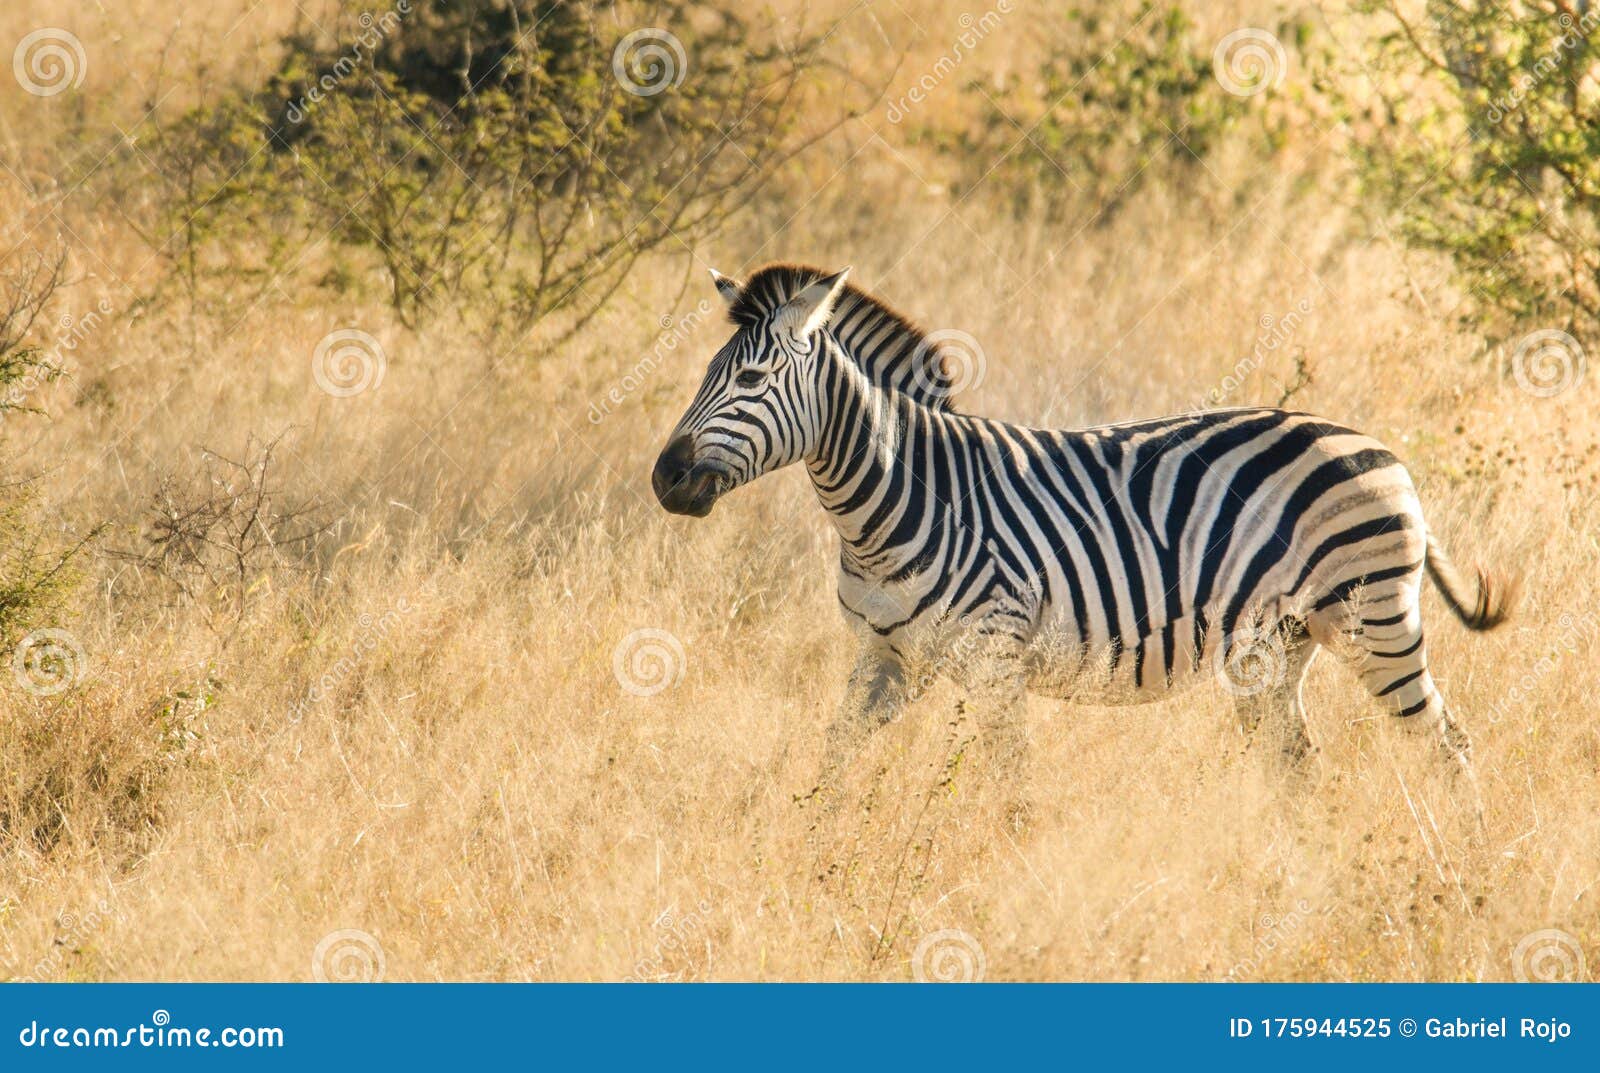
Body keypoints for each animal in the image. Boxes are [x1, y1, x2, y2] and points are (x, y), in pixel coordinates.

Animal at [652, 263, 1516, 809]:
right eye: (704, 375)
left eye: (750, 380)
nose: (664, 477)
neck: (887, 504)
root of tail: (1385, 451)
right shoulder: (886, 657)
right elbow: (831, 759)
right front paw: (808, 850)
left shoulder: (995, 658)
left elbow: (1011, 786)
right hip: (1275, 648)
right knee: (1300, 766)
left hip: (1373, 621)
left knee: (1451, 745)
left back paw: (1465, 865)